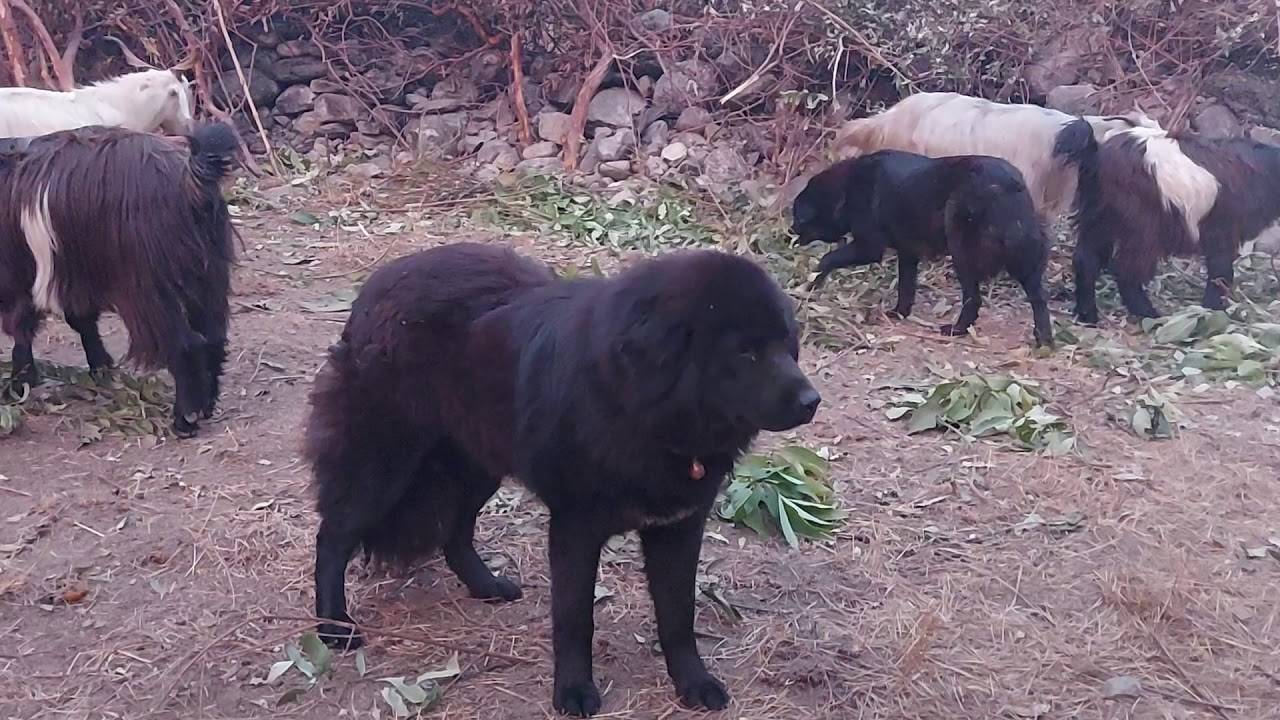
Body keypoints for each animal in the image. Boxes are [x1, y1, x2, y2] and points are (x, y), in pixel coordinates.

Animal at [0, 121, 240, 438]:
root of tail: (191, 180)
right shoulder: (76, 277)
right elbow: (81, 321)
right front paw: (101, 368)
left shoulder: (23, 279)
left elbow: (22, 330)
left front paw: (19, 384)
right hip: (206, 274)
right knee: (213, 336)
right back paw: (206, 405)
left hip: (147, 288)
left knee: (186, 345)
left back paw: (185, 419)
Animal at [791, 149, 1054, 348]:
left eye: (796, 216)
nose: (791, 231)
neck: (846, 188)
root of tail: (1010, 185)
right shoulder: (907, 253)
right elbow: (906, 288)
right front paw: (899, 313)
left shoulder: (869, 247)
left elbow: (827, 259)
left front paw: (812, 284)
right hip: (1025, 262)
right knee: (1039, 300)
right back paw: (1044, 341)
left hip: (962, 254)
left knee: (973, 299)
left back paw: (958, 329)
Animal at [1070, 125, 1280, 323]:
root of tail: (1097, 155)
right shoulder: (1222, 228)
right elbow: (1220, 272)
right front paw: (1211, 312)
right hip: (1141, 224)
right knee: (1126, 271)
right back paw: (1150, 316)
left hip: (1100, 215)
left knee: (1086, 259)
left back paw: (1088, 316)